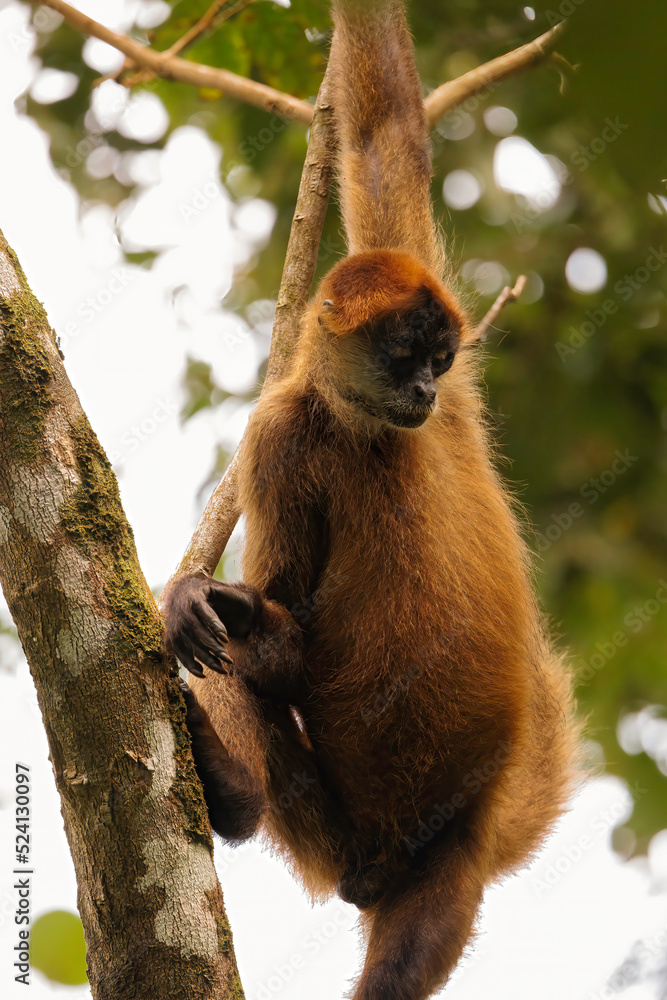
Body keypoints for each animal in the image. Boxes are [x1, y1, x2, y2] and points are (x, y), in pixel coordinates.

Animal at [162, 1, 580, 996]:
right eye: (402, 358)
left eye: (437, 358)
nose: (424, 390)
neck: (369, 435)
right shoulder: (277, 434)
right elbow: (274, 634)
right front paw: (222, 611)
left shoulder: (450, 387)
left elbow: (386, 135)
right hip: (340, 837)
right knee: (230, 657)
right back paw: (234, 794)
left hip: (447, 858)